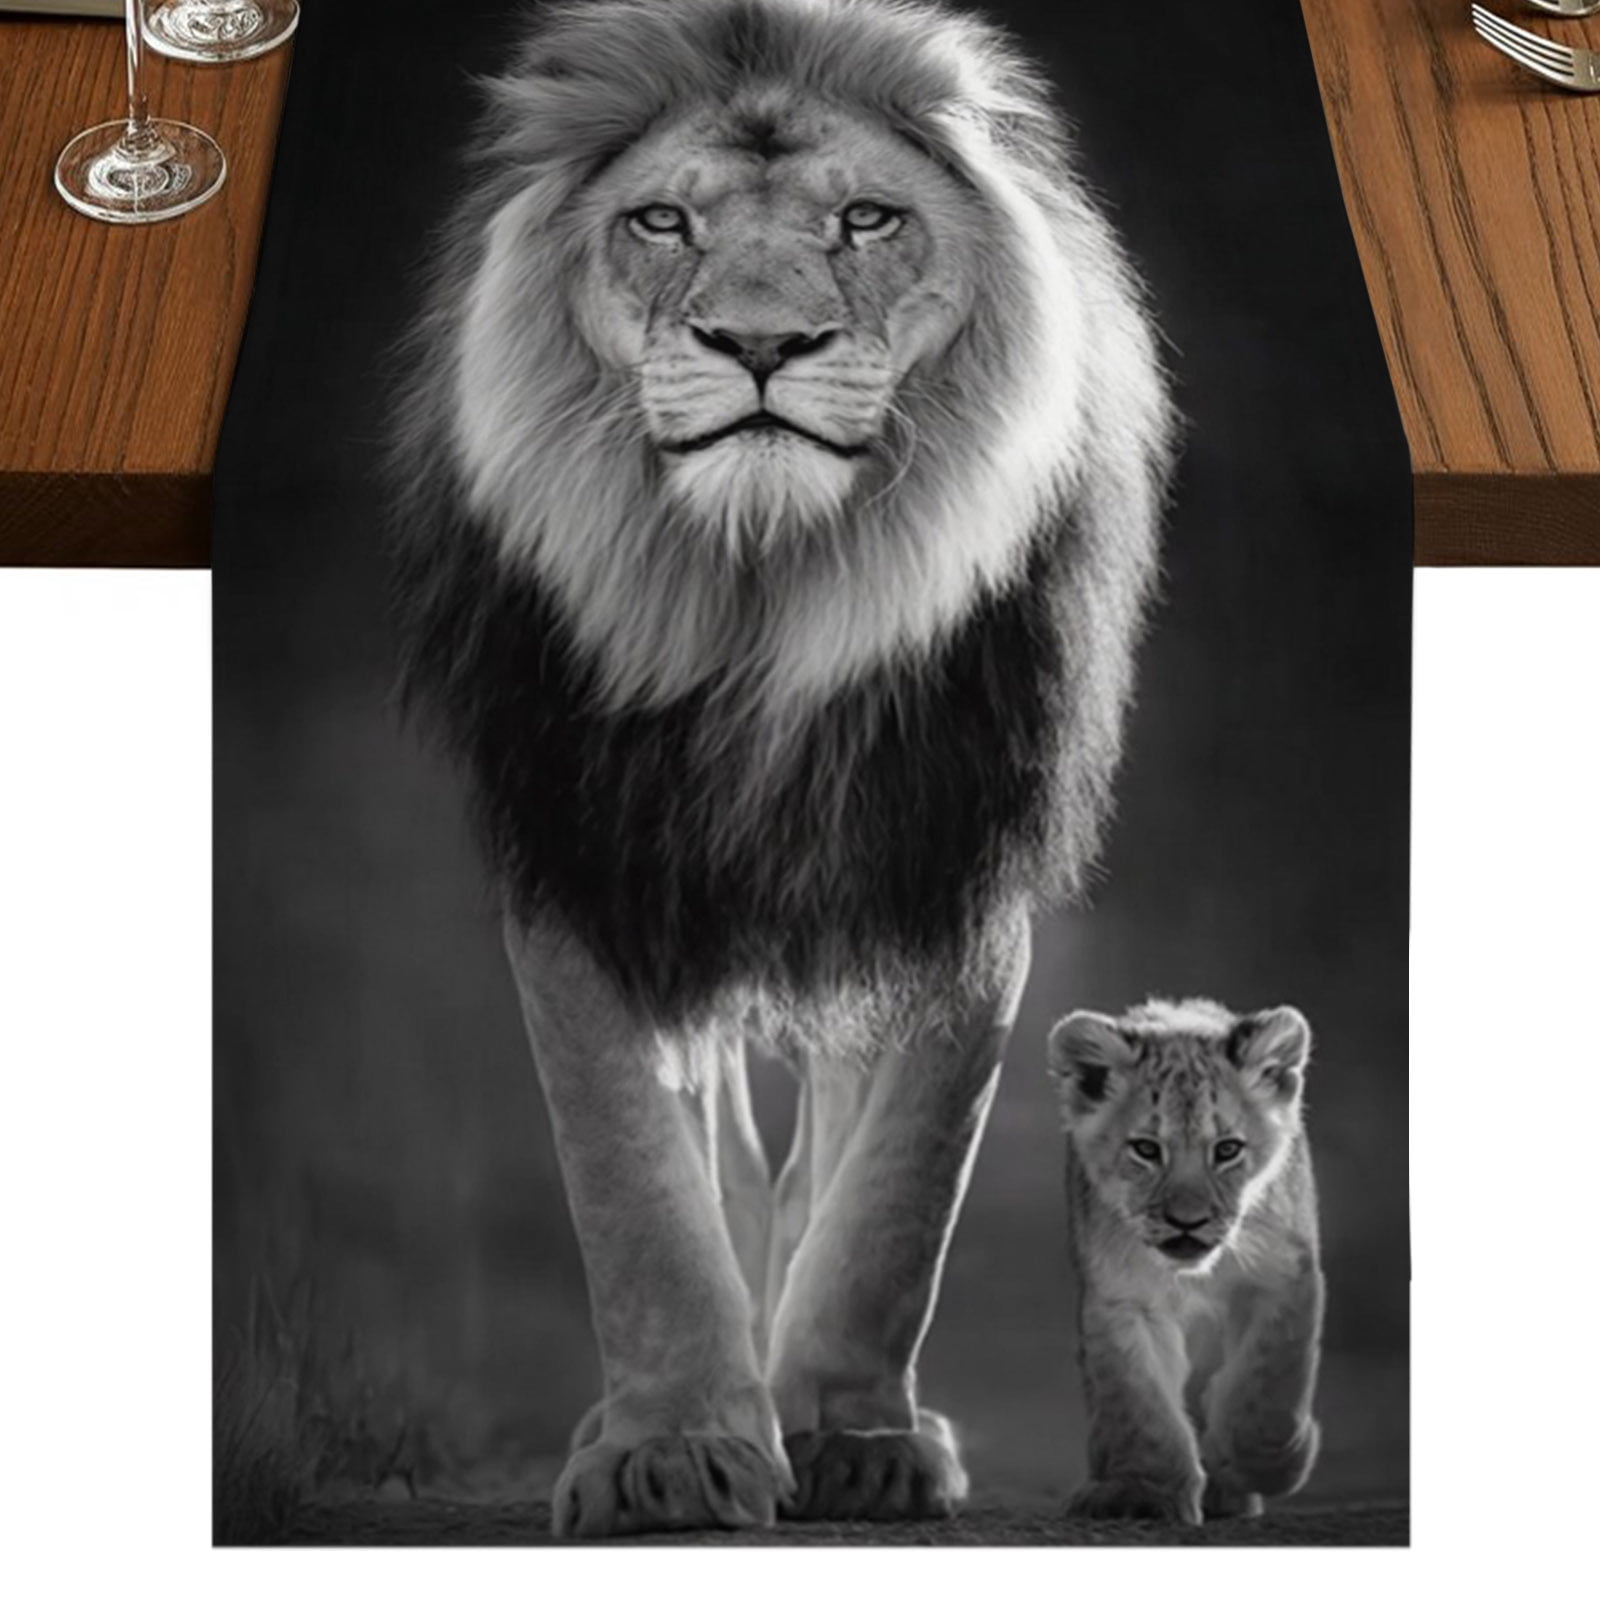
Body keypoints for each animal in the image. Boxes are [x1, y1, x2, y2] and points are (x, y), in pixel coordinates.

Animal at [392, 0, 1172, 1537]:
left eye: (866, 219)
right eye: (662, 220)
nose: (761, 344)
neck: (768, 593)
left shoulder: (950, 861)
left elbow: (897, 1201)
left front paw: (857, 1437)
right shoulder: (585, 855)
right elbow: (635, 1181)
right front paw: (672, 1447)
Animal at [1047, 999, 1325, 1525]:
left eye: (1228, 1150)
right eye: (1146, 1149)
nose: (1187, 1223)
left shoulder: (1285, 1276)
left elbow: (1269, 1383)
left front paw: (1259, 1464)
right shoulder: (1124, 1300)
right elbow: (1141, 1404)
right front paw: (1143, 1494)